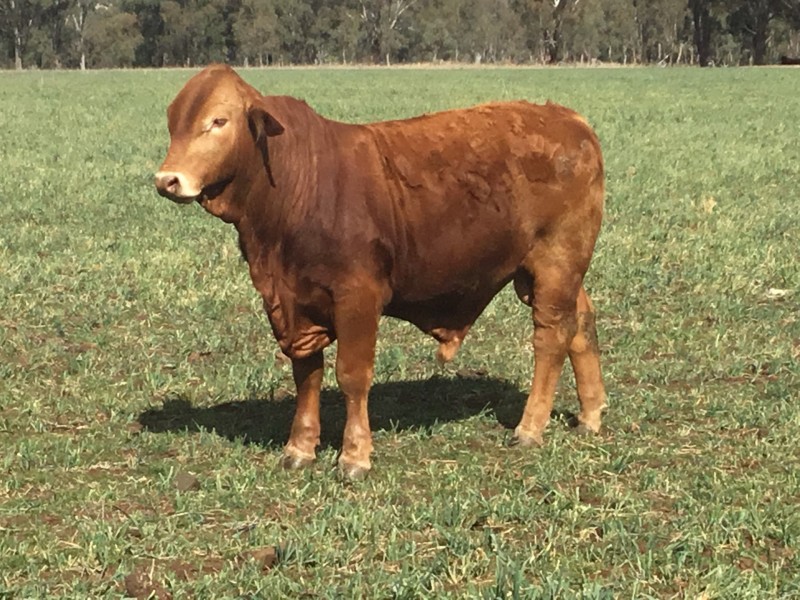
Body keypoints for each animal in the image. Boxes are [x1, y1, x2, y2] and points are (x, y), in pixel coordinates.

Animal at [155, 64, 607, 479]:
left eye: (218, 121)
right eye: (173, 122)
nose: (167, 180)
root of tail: (569, 118)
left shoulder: (357, 297)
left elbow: (352, 375)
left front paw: (354, 456)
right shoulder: (293, 303)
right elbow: (307, 375)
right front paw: (299, 448)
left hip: (557, 261)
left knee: (551, 337)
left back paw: (530, 428)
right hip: (544, 273)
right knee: (581, 323)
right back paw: (590, 414)